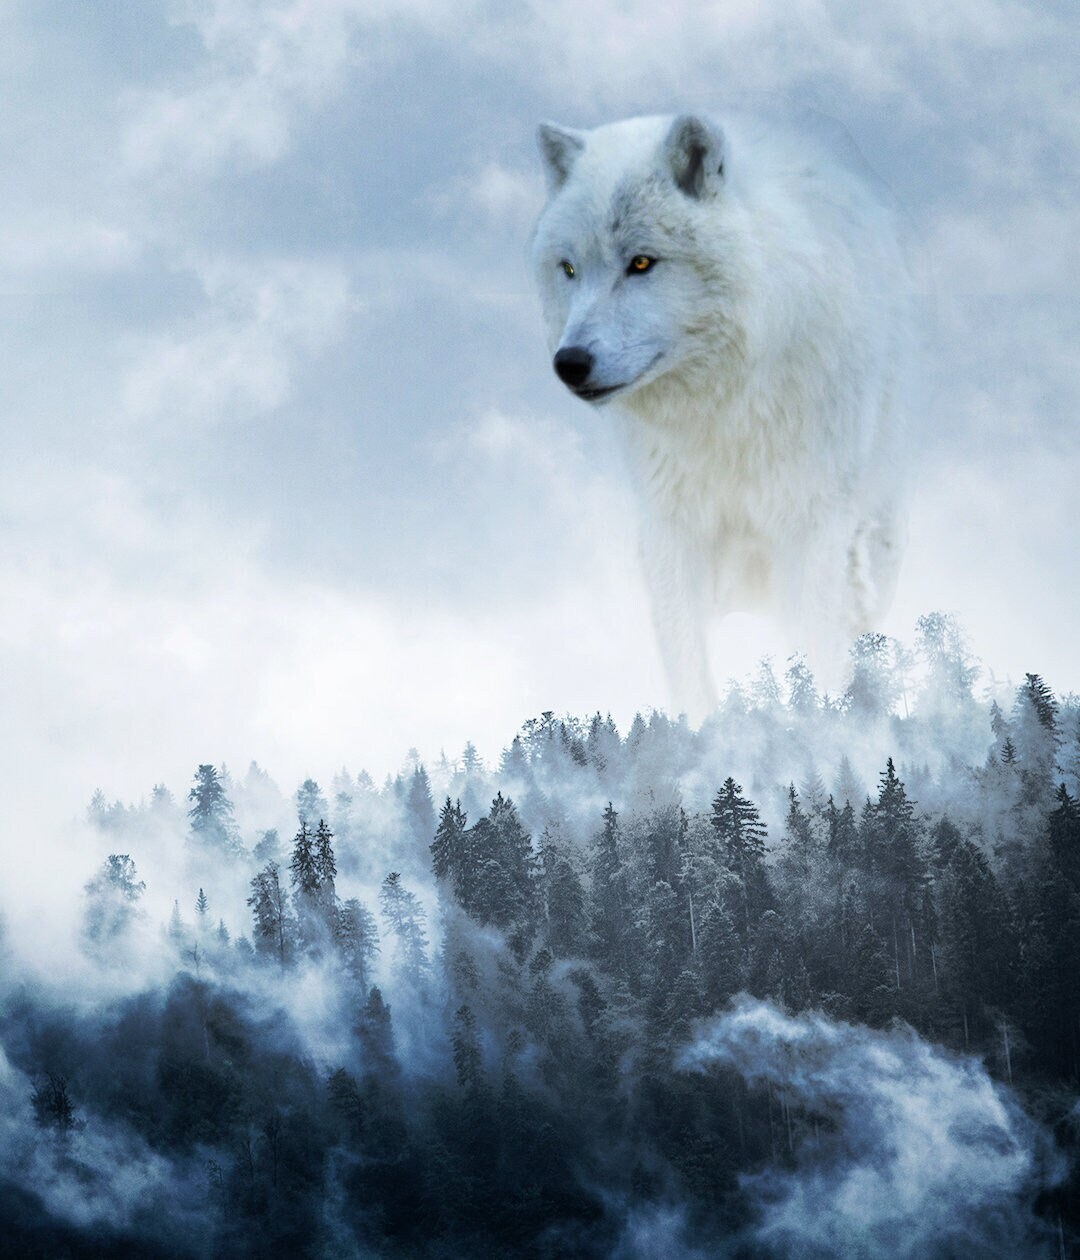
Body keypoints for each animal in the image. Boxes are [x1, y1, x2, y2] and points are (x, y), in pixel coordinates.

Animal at [532, 111, 912, 723]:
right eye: (569, 268)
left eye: (641, 262)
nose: (569, 363)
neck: (721, 405)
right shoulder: (672, 527)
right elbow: (688, 664)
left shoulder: (809, 524)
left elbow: (814, 649)